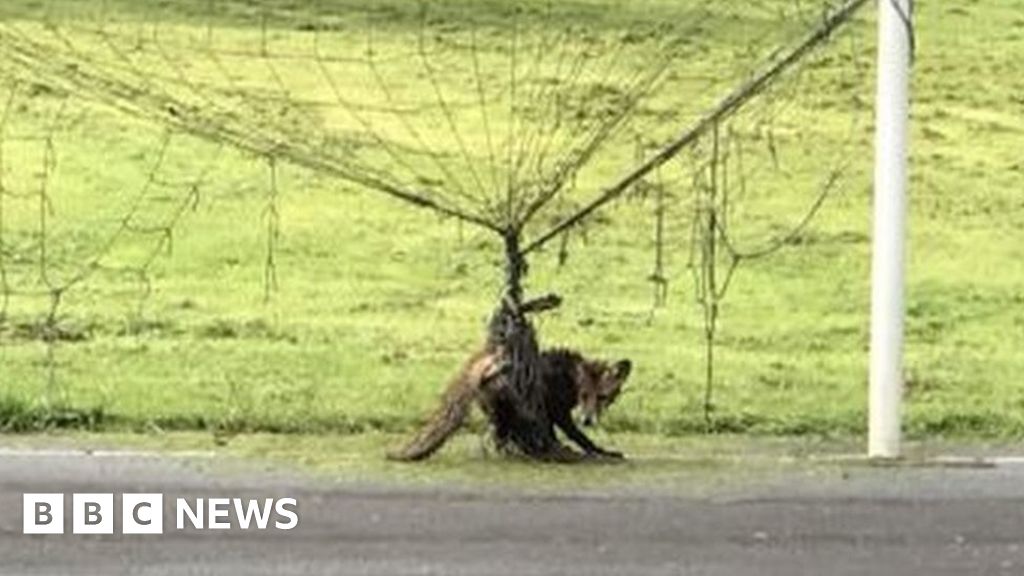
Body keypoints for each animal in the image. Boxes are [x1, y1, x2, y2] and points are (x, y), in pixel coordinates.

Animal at [388, 347, 632, 462]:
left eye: (602, 397)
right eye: (584, 395)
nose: (588, 420)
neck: (567, 379)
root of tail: (484, 362)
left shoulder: (553, 412)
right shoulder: (556, 410)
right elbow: (580, 438)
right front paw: (599, 451)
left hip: (503, 413)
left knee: (499, 438)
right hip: (518, 409)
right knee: (504, 439)